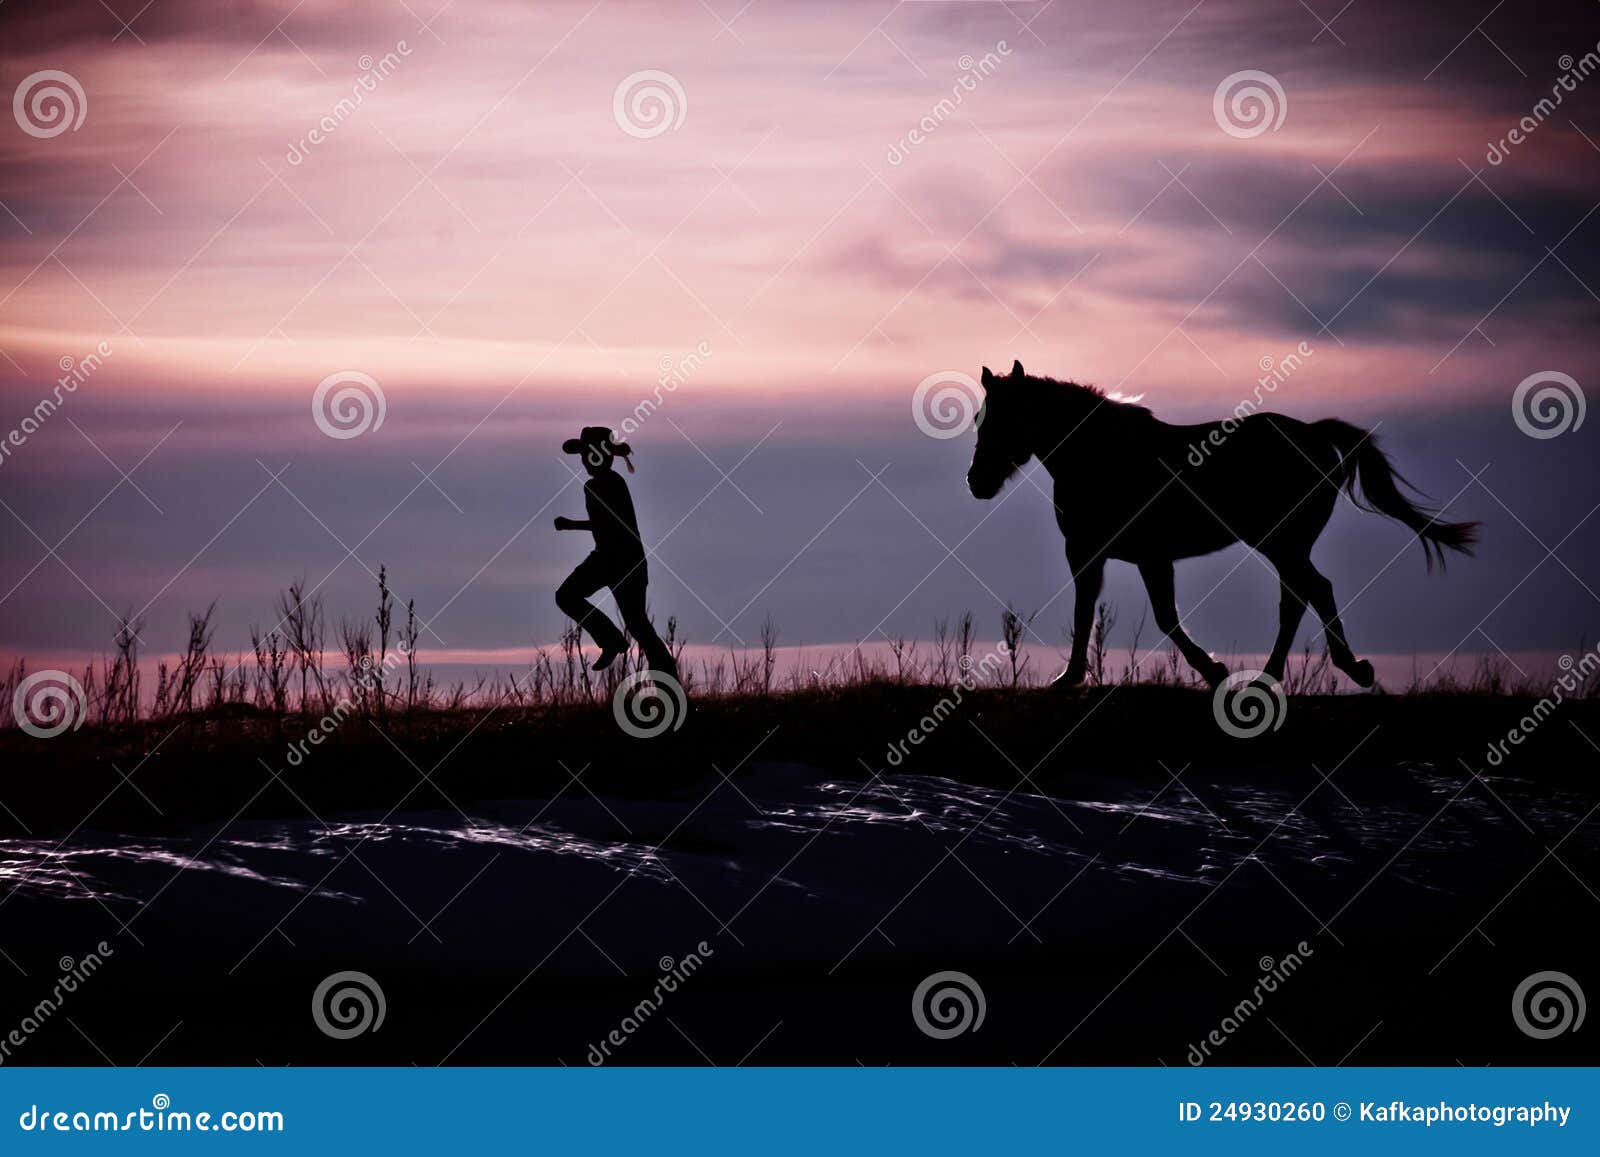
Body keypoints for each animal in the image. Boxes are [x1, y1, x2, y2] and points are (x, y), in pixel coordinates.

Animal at [965, 360, 1479, 690]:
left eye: (1003, 419)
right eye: (979, 419)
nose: (976, 481)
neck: (1103, 456)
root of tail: (1314, 434)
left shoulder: (1110, 554)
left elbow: (1124, 615)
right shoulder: (1135, 558)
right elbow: (1128, 614)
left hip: (1280, 542)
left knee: (1306, 593)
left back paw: (1314, 673)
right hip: (1285, 544)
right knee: (1306, 594)